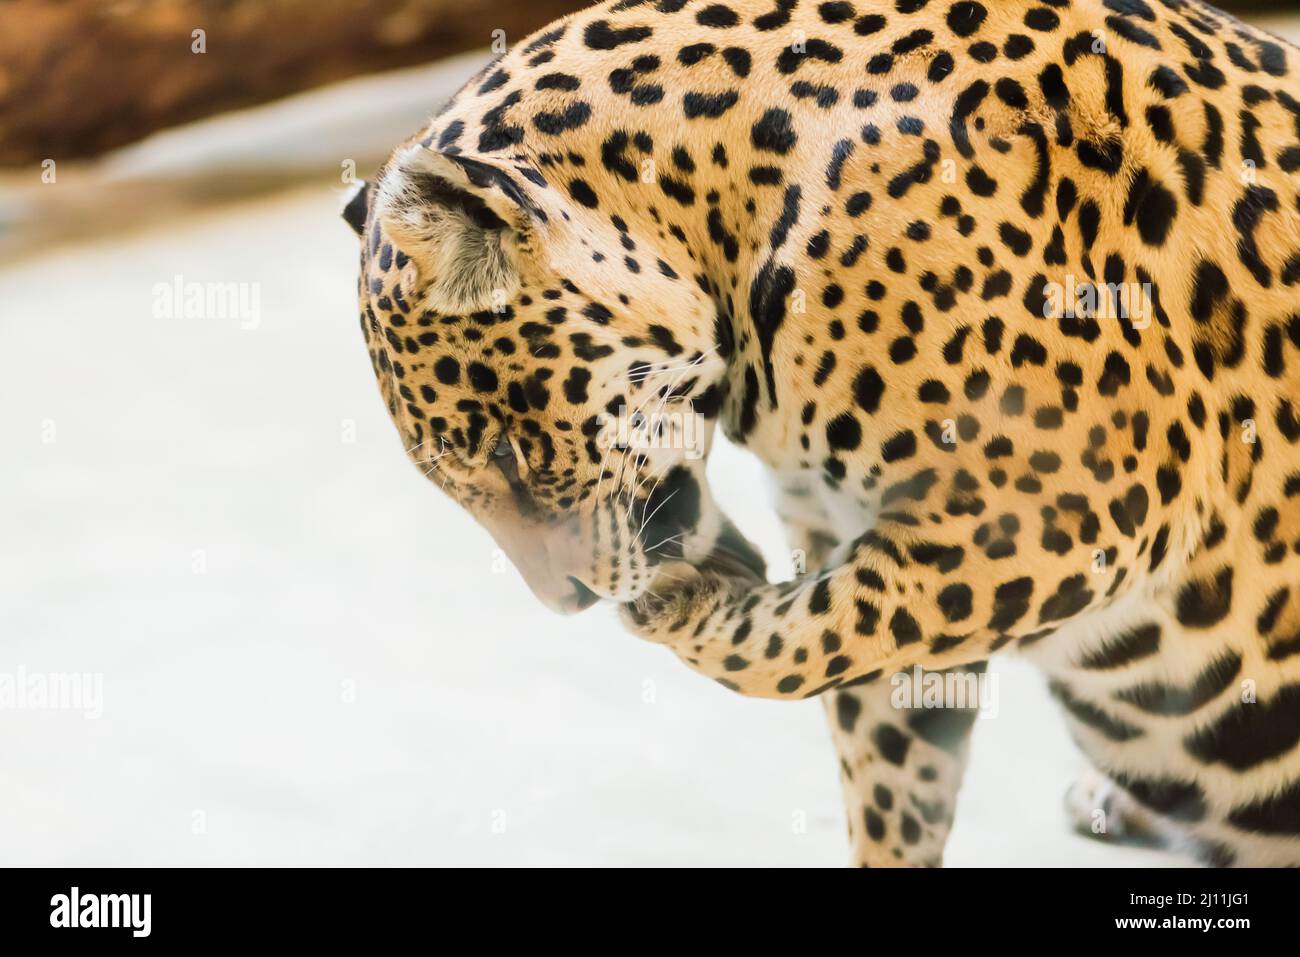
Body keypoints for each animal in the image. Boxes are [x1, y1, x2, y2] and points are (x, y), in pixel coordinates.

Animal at [345, 0, 1300, 866]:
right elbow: (879, 747)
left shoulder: (1079, 511)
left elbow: (805, 642)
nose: (567, 602)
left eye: (508, 452)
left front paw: (682, 608)